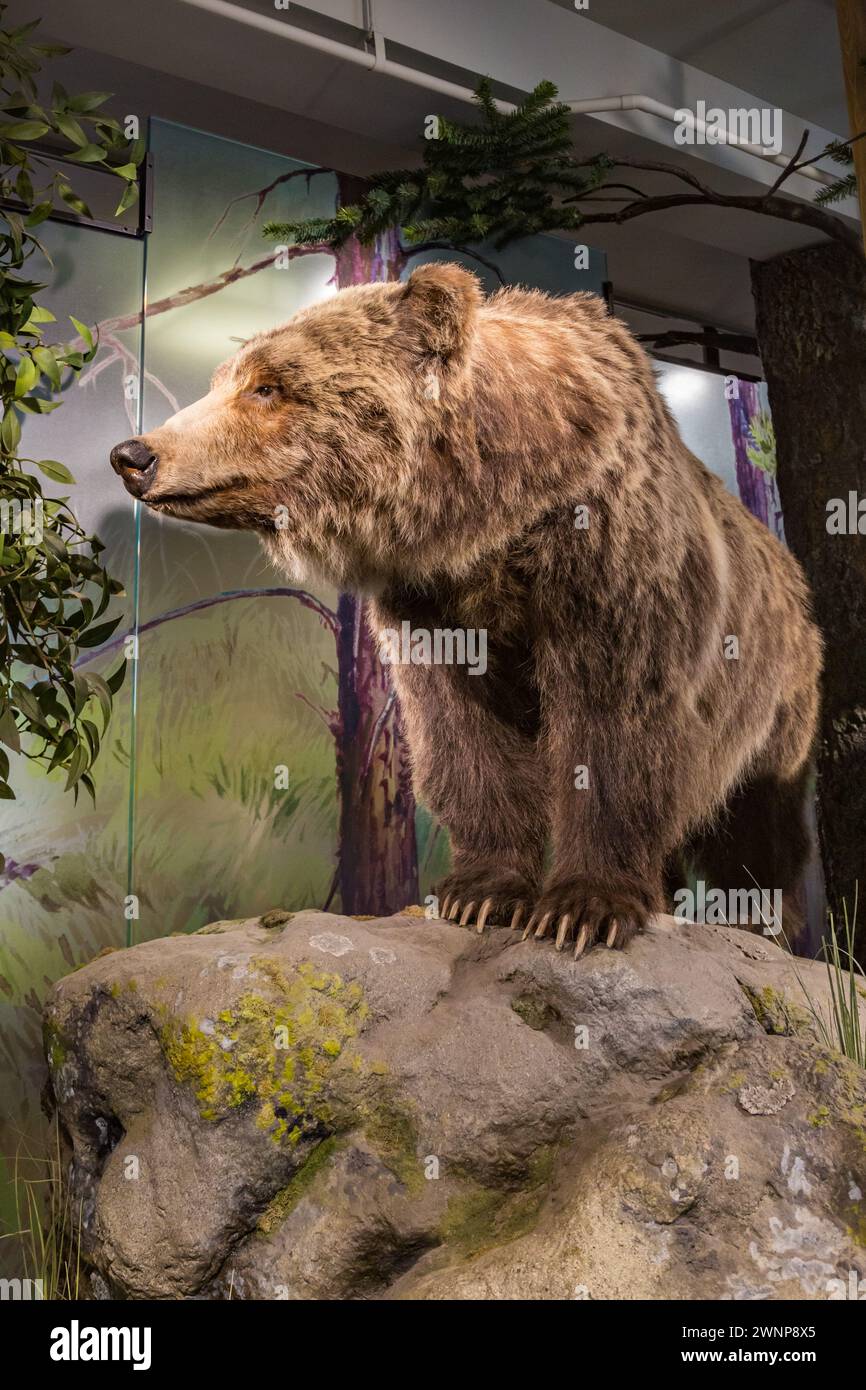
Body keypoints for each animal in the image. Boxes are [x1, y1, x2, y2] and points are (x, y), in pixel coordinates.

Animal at [110, 261, 822, 955]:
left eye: (267, 386)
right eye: (223, 379)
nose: (134, 454)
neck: (491, 514)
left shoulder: (606, 570)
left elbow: (613, 724)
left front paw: (583, 908)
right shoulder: (436, 611)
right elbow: (463, 734)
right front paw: (480, 893)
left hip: (774, 700)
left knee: (762, 820)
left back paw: (762, 926)